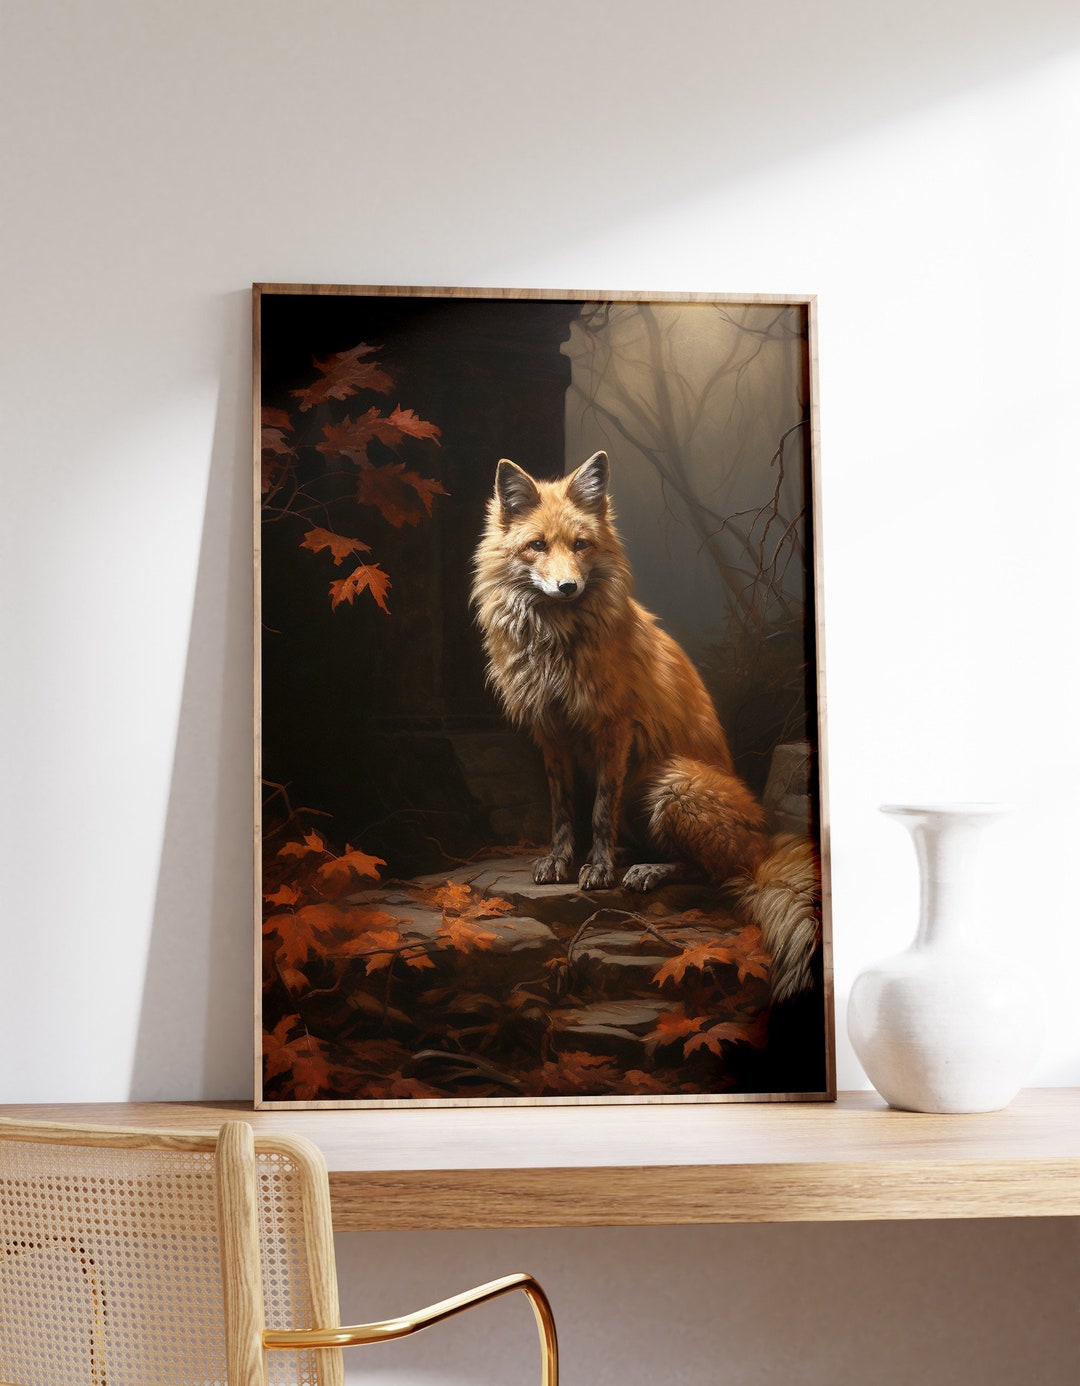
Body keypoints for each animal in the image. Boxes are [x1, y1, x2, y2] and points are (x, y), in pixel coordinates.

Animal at [470, 449, 820, 1003]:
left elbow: (598, 811)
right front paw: (560, 861)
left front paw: (598, 868)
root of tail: (764, 841)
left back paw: (645, 869)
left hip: (672, 786)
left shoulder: (612, 729)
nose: (568, 586)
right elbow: (563, 810)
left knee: (713, 872)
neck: (555, 645)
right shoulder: (551, 733)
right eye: (537, 545)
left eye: (581, 545)